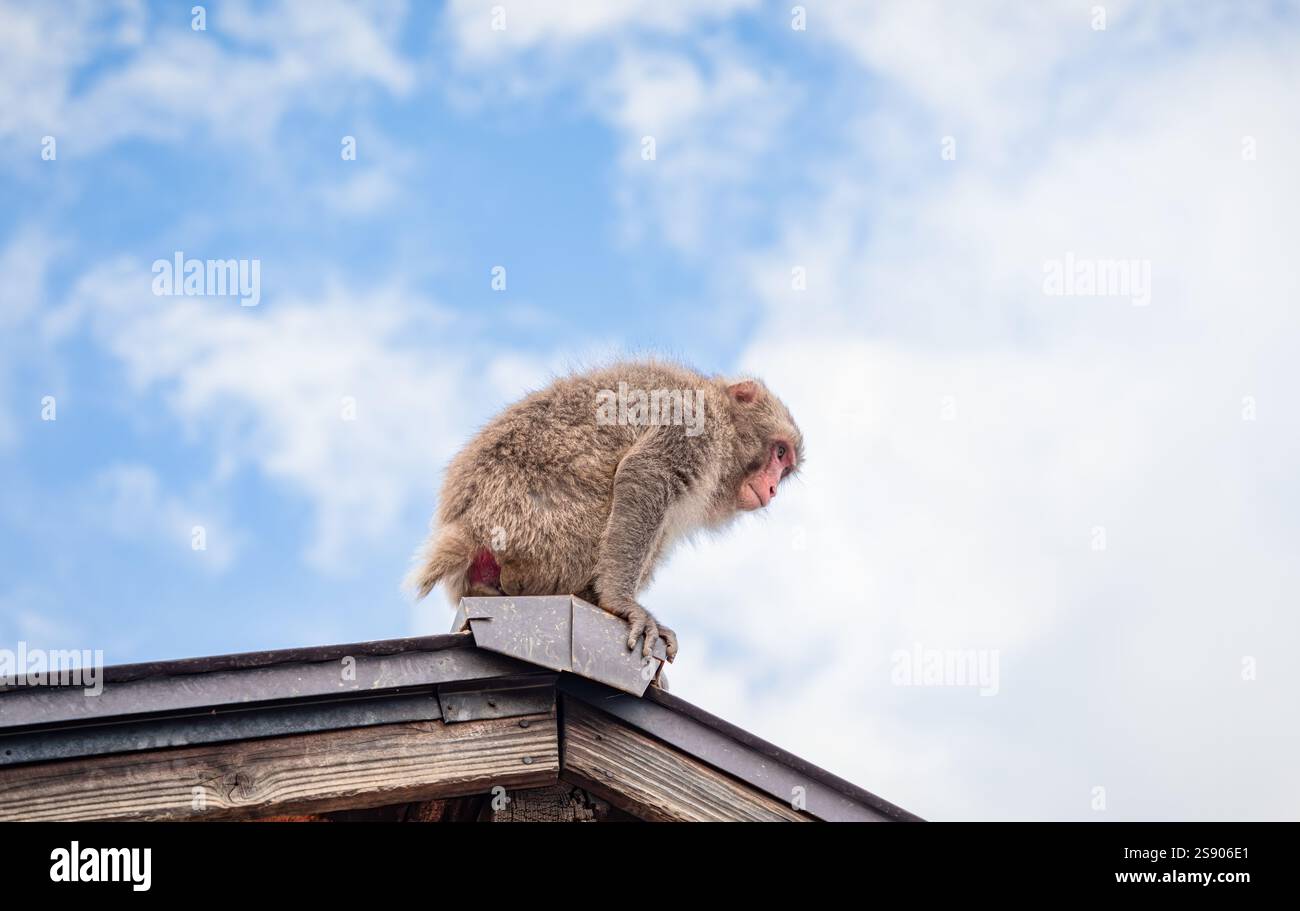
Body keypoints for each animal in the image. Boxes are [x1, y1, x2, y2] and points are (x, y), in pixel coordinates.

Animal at [406, 360, 802, 662]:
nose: (771, 488)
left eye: (784, 468)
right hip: (547, 535)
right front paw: (620, 603)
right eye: (779, 451)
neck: (722, 413)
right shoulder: (694, 425)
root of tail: (470, 526)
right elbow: (645, 473)